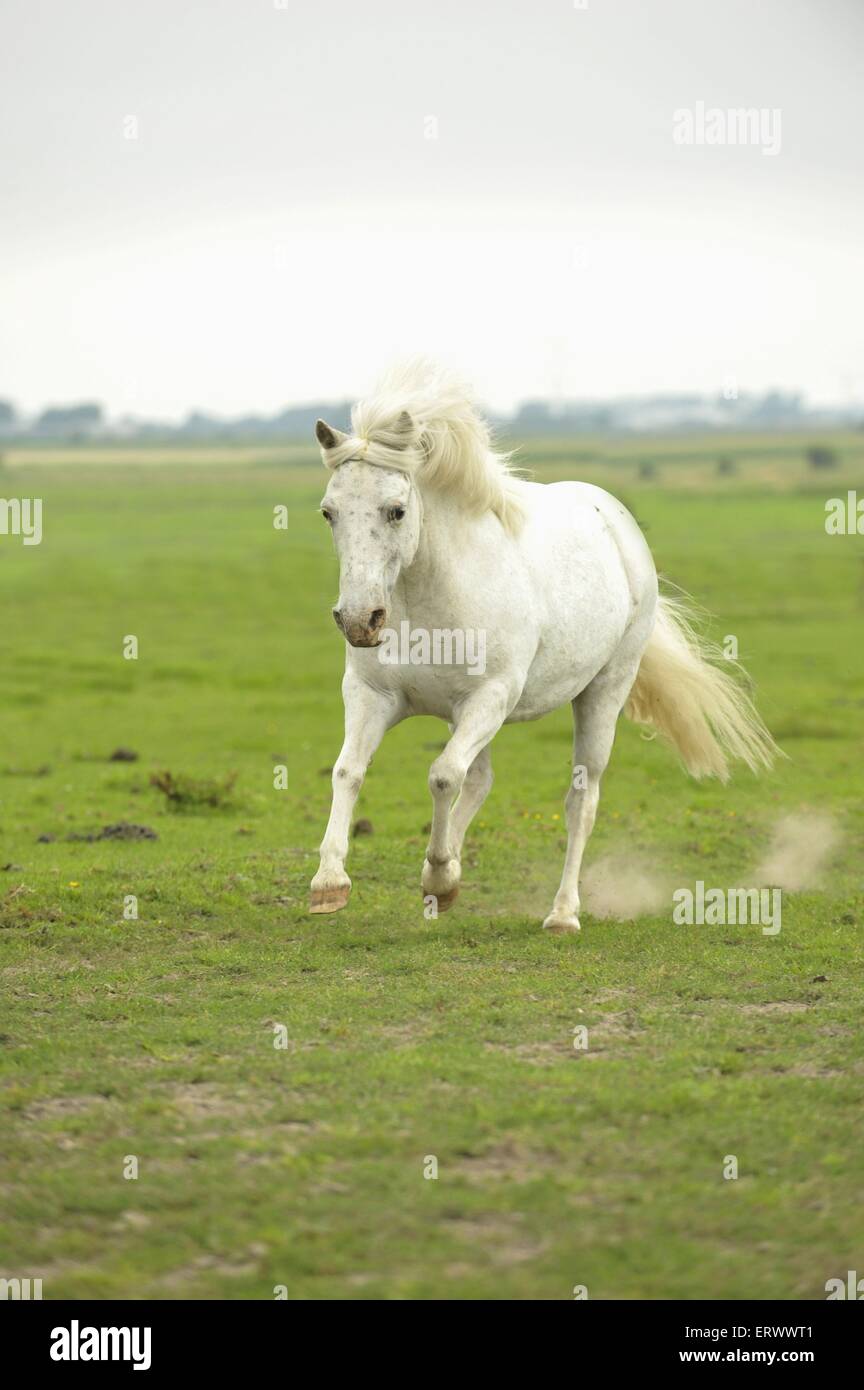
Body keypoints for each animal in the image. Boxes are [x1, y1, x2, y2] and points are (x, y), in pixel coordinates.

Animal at [309, 361, 777, 932]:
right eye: (329, 512)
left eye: (396, 510)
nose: (359, 620)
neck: (428, 594)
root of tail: (618, 521)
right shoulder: (373, 695)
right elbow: (349, 771)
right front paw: (331, 884)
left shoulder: (491, 697)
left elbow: (442, 777)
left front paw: (438, 878)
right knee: (479, 780)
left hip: (601, 695)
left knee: (580, 801)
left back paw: (562, 913)